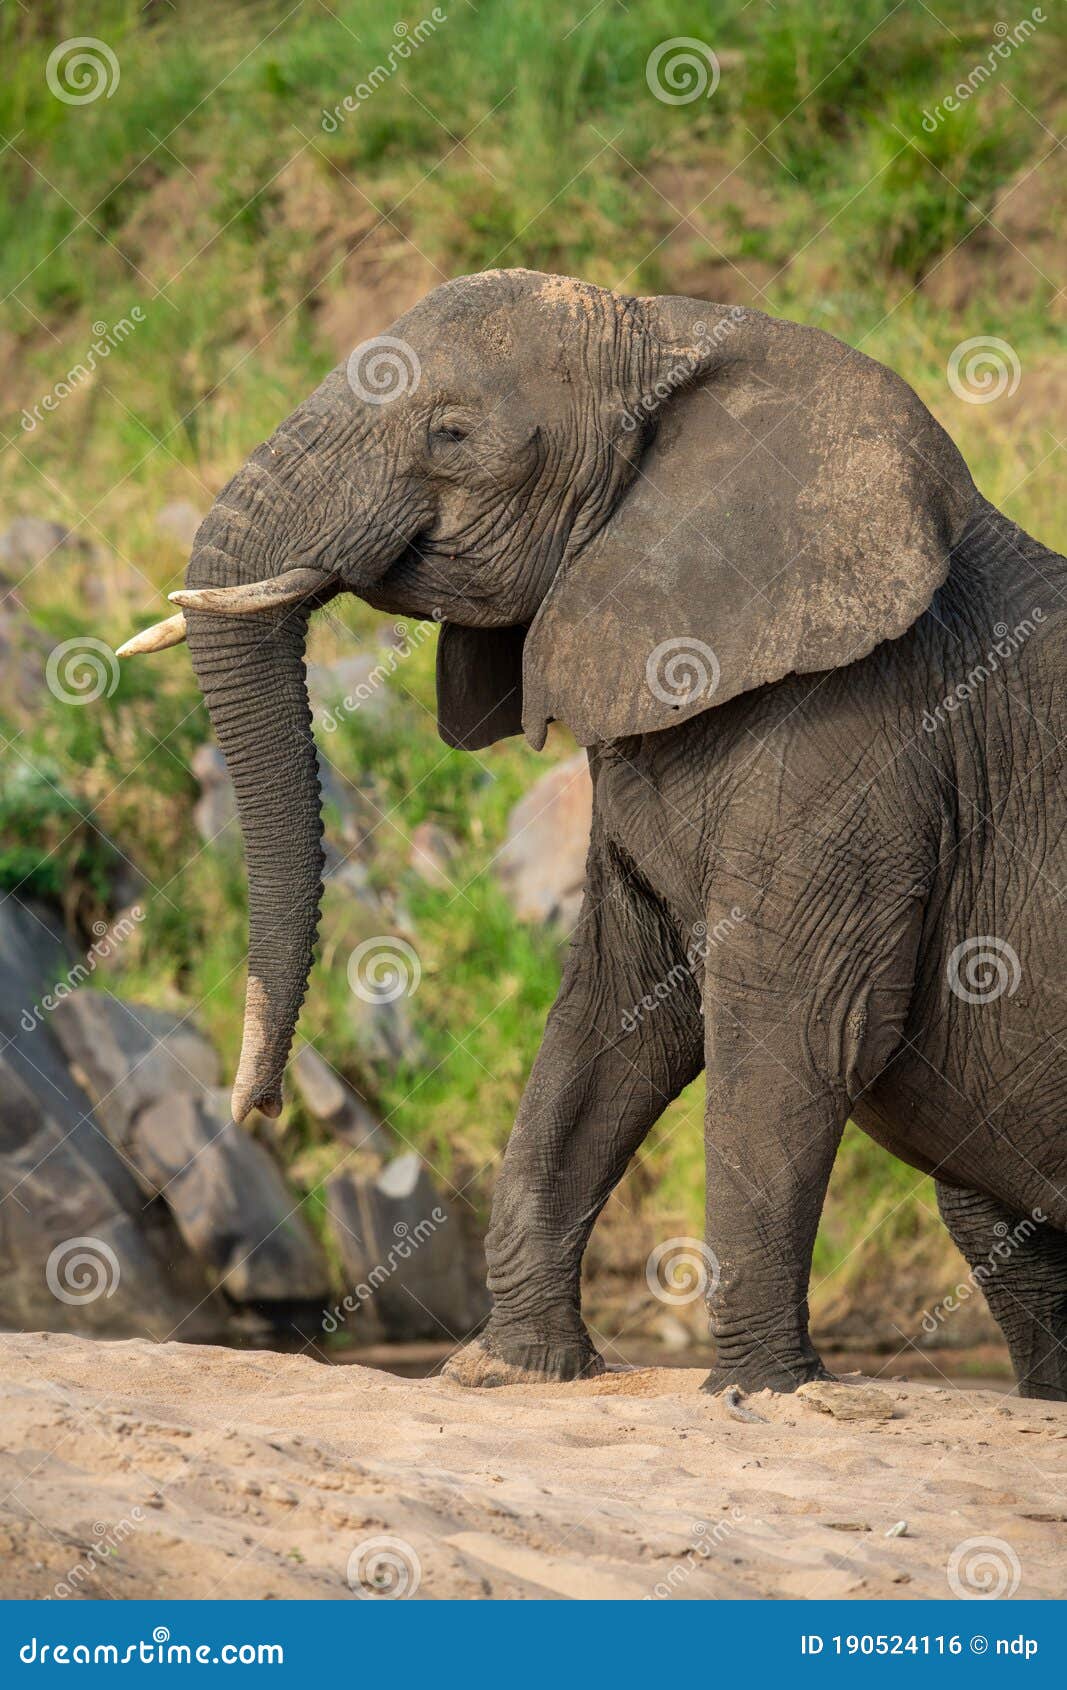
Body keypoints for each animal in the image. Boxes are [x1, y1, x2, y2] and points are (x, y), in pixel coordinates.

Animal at [121, 268, 1067, 1399]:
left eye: (450, 433)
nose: (250, 1110)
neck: (669, 322)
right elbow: (614, 1012)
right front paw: (509, 1371)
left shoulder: (861, 739)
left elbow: (796, 1027)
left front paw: (757, 1391)